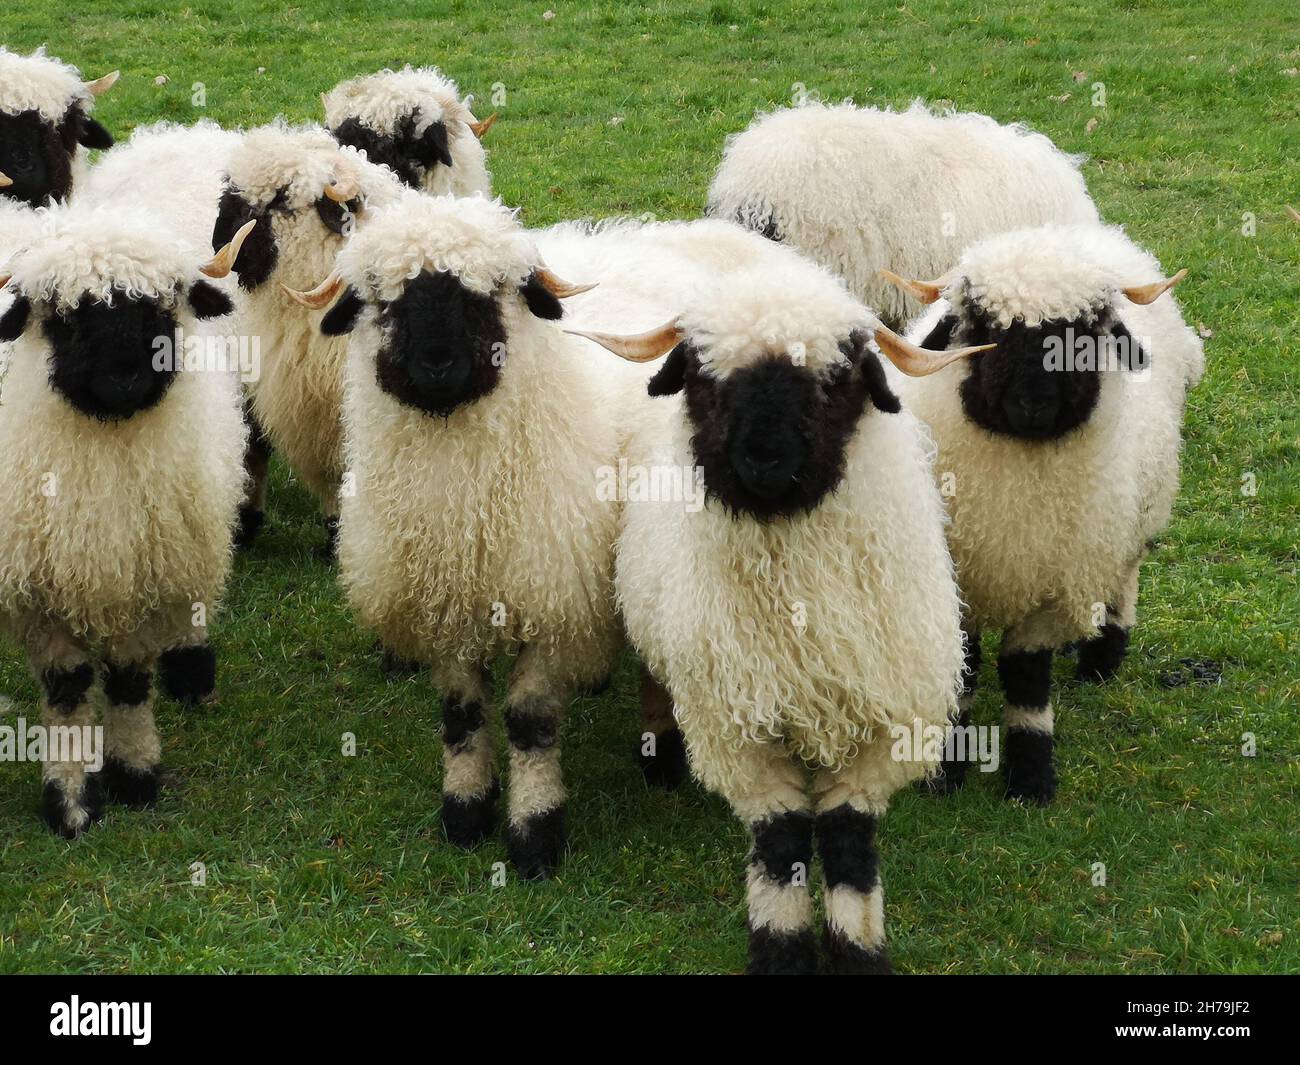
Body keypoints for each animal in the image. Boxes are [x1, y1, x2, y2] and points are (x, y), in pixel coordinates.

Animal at [0, 204, 252, 836]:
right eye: (64, 318)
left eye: (161, 308)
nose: (124, 376)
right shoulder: (41, 598)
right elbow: (67, 694)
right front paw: (71, 802)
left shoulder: (144, 577)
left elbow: (130, 681)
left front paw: (135, 776)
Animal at [287, 192, 625, 879]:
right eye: (381, 299)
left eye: (487, 292)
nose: (436, 362)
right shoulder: (440, 601)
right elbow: (462, 715)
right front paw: (466, 809)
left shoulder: (548, 596)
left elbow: (528, 721)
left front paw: (534, 832)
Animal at [561, 222, 980, 973]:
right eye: (703, 376)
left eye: (836, 378)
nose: (763, 458)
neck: (798, 602)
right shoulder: (741, 730)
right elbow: (781, 845)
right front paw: (782, 952)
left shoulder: (885, 725)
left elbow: (848, 846)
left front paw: (859, 954)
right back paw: (660, 755)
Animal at [879, 221, 1203, 805]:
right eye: (987, 329)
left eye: (1084, 333)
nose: (1034, 404)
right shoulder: (955, 577)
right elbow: (965, 669)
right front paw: (947, 769)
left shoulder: (1052, 585)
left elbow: (1026, 675)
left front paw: (1030, 777)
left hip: (1130, 519)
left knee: (1125, 577)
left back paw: (1103, 656)